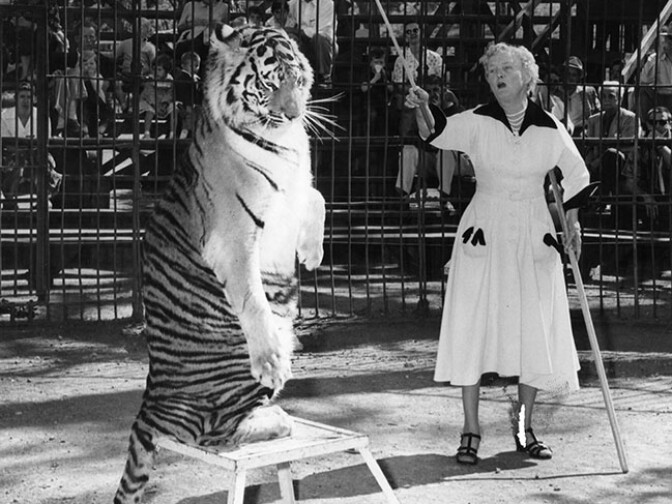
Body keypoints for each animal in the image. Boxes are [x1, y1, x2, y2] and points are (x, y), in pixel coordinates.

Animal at [114, 24, 326, 504]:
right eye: (268, 84)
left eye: (295, 77)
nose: (293, 114)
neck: (285, 143)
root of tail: (151, 402)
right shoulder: (234, 237)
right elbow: (253, 299)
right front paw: (269, 359)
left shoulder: (298, 188)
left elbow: (318, 197)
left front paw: (312, 252)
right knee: (211, 429)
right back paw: (277, 419)